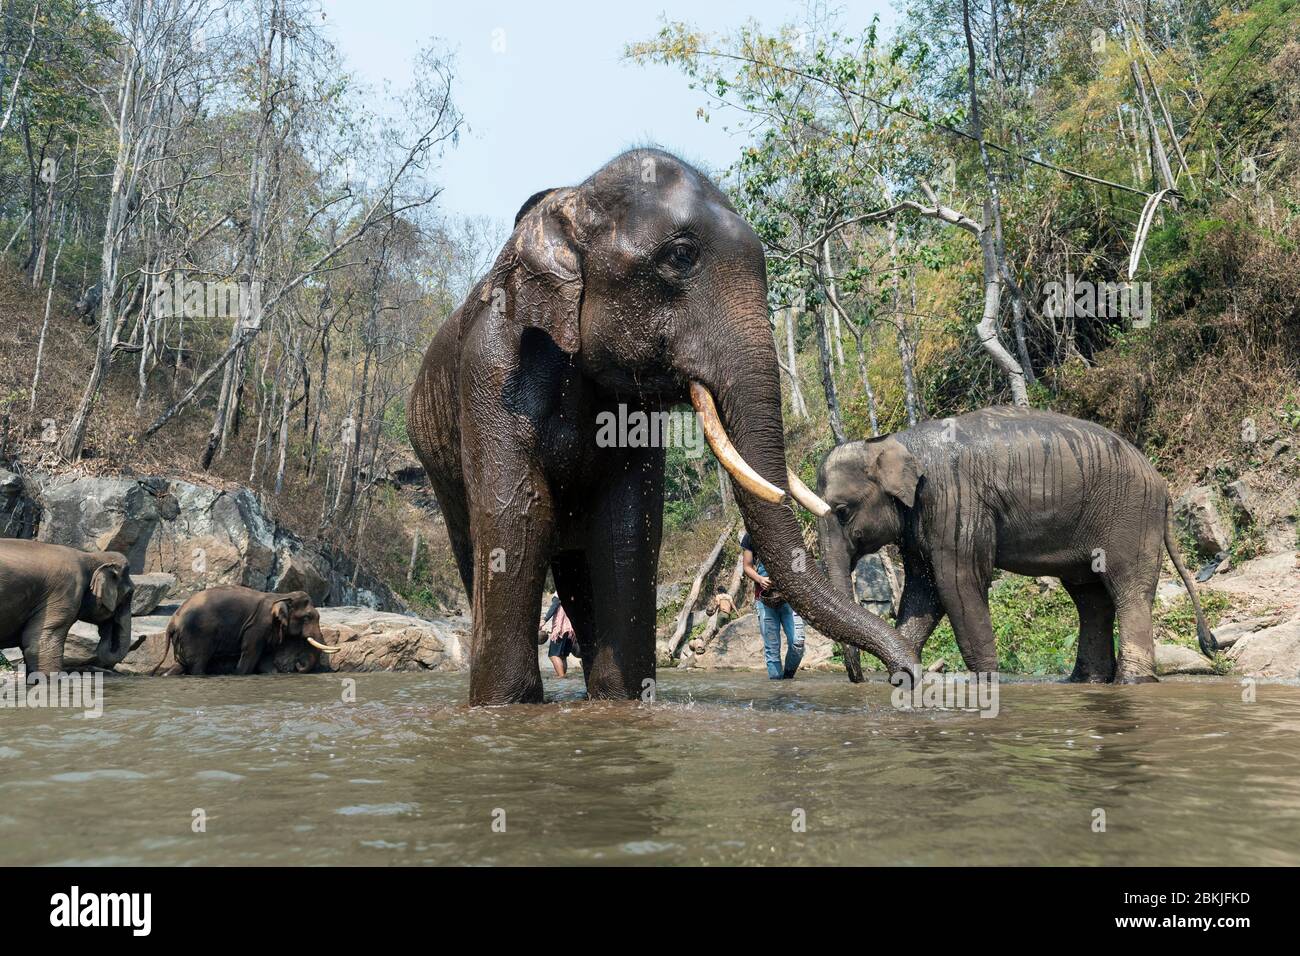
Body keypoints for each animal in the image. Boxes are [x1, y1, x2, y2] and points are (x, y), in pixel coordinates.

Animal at [165, 586, 340, 675]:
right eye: (307, 617)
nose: (298, 664)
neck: (280, 596)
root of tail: (172, 622)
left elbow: (266, 659)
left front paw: (274, 672)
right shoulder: (257, 627)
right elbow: (250, 655)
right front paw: (239, 673)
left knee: (181, 664)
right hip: (196, 636)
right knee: (197, 665)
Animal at [407, 148, 918, 704]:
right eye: (681, 256)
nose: (907, 674)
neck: (575, 197)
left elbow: (627, 523)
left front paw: (624, 700)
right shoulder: (494, 371)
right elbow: (518, 515)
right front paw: (505, 706)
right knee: (478, 550)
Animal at [816, 406, 1216, 684]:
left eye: (842, 511)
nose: (858, 678)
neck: (897, 440)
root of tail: (1163, 485)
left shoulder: (955, 501)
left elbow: (958, 584)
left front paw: (986, 683)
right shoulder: (920, 521)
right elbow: (922, 593)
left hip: (1130, 518)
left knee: (1127, 590)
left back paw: (1132, 681)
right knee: (1091, 598)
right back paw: (1088, 681)